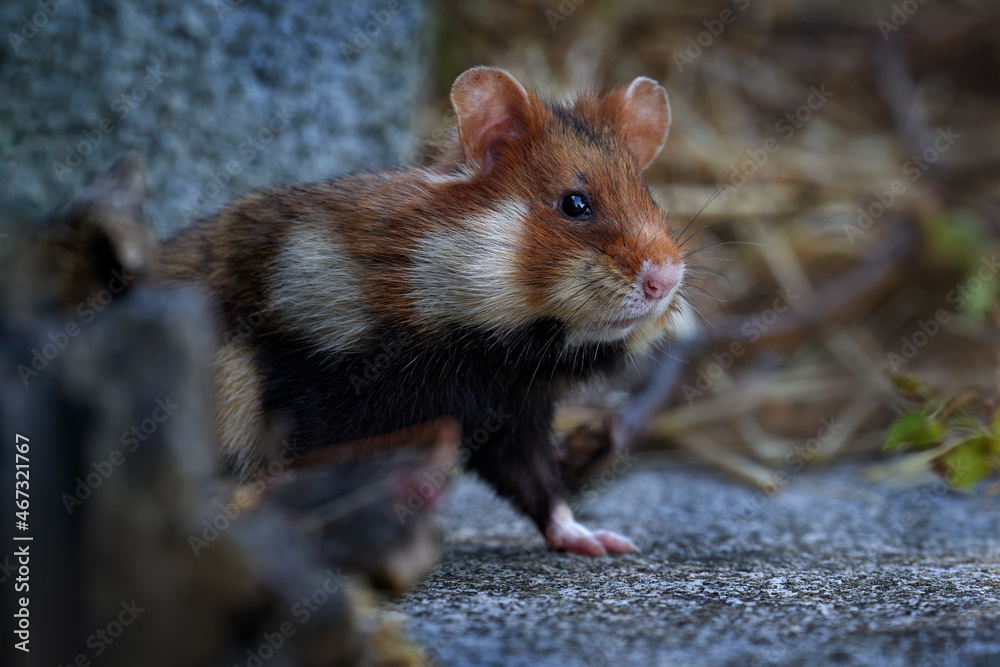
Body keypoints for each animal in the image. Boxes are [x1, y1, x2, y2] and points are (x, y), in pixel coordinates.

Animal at [157, 67, 686, 556]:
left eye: (651, 198)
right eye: (575, 204)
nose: (665, 280)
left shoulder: (509, 413)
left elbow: (541, 487)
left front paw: (605, 543)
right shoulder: (316, 383)